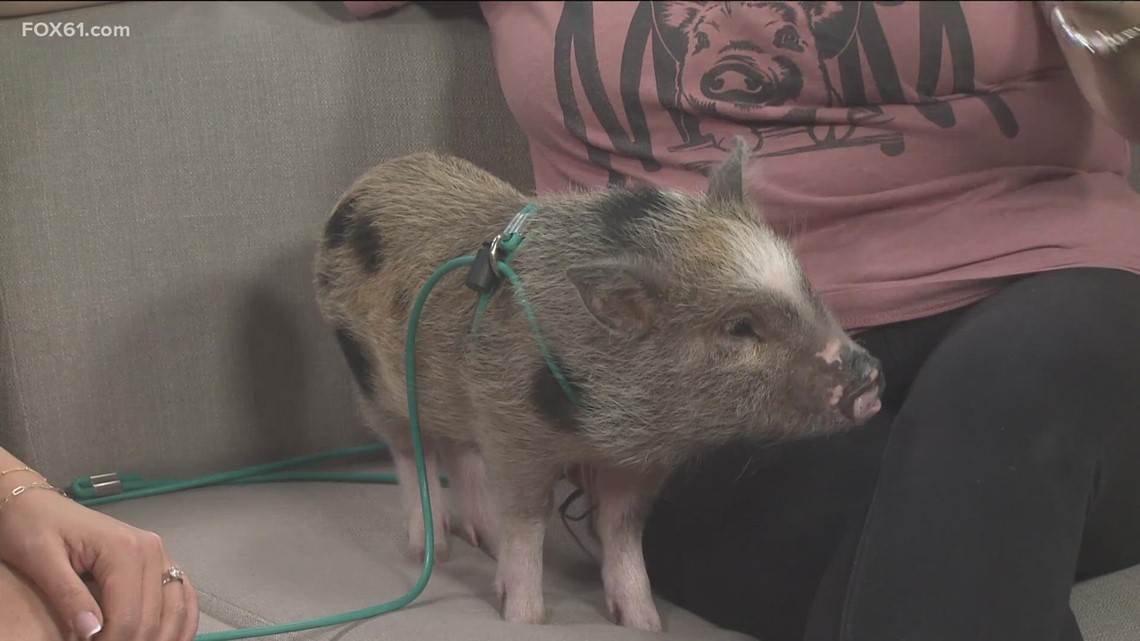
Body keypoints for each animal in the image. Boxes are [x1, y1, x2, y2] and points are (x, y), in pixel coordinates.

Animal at [312, 136, 883, 632]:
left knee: (457, 451)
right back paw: (429, 550)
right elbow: (528, 523)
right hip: (370, 375)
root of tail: (366, 181)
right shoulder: (512, 427)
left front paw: (644, 623)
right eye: (741, 327)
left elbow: (622, 533)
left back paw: (483, 540)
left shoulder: (641, 463)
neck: (614, 421)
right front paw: (524, 618)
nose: (872, 380)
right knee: (412, 455)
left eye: (806, 285)